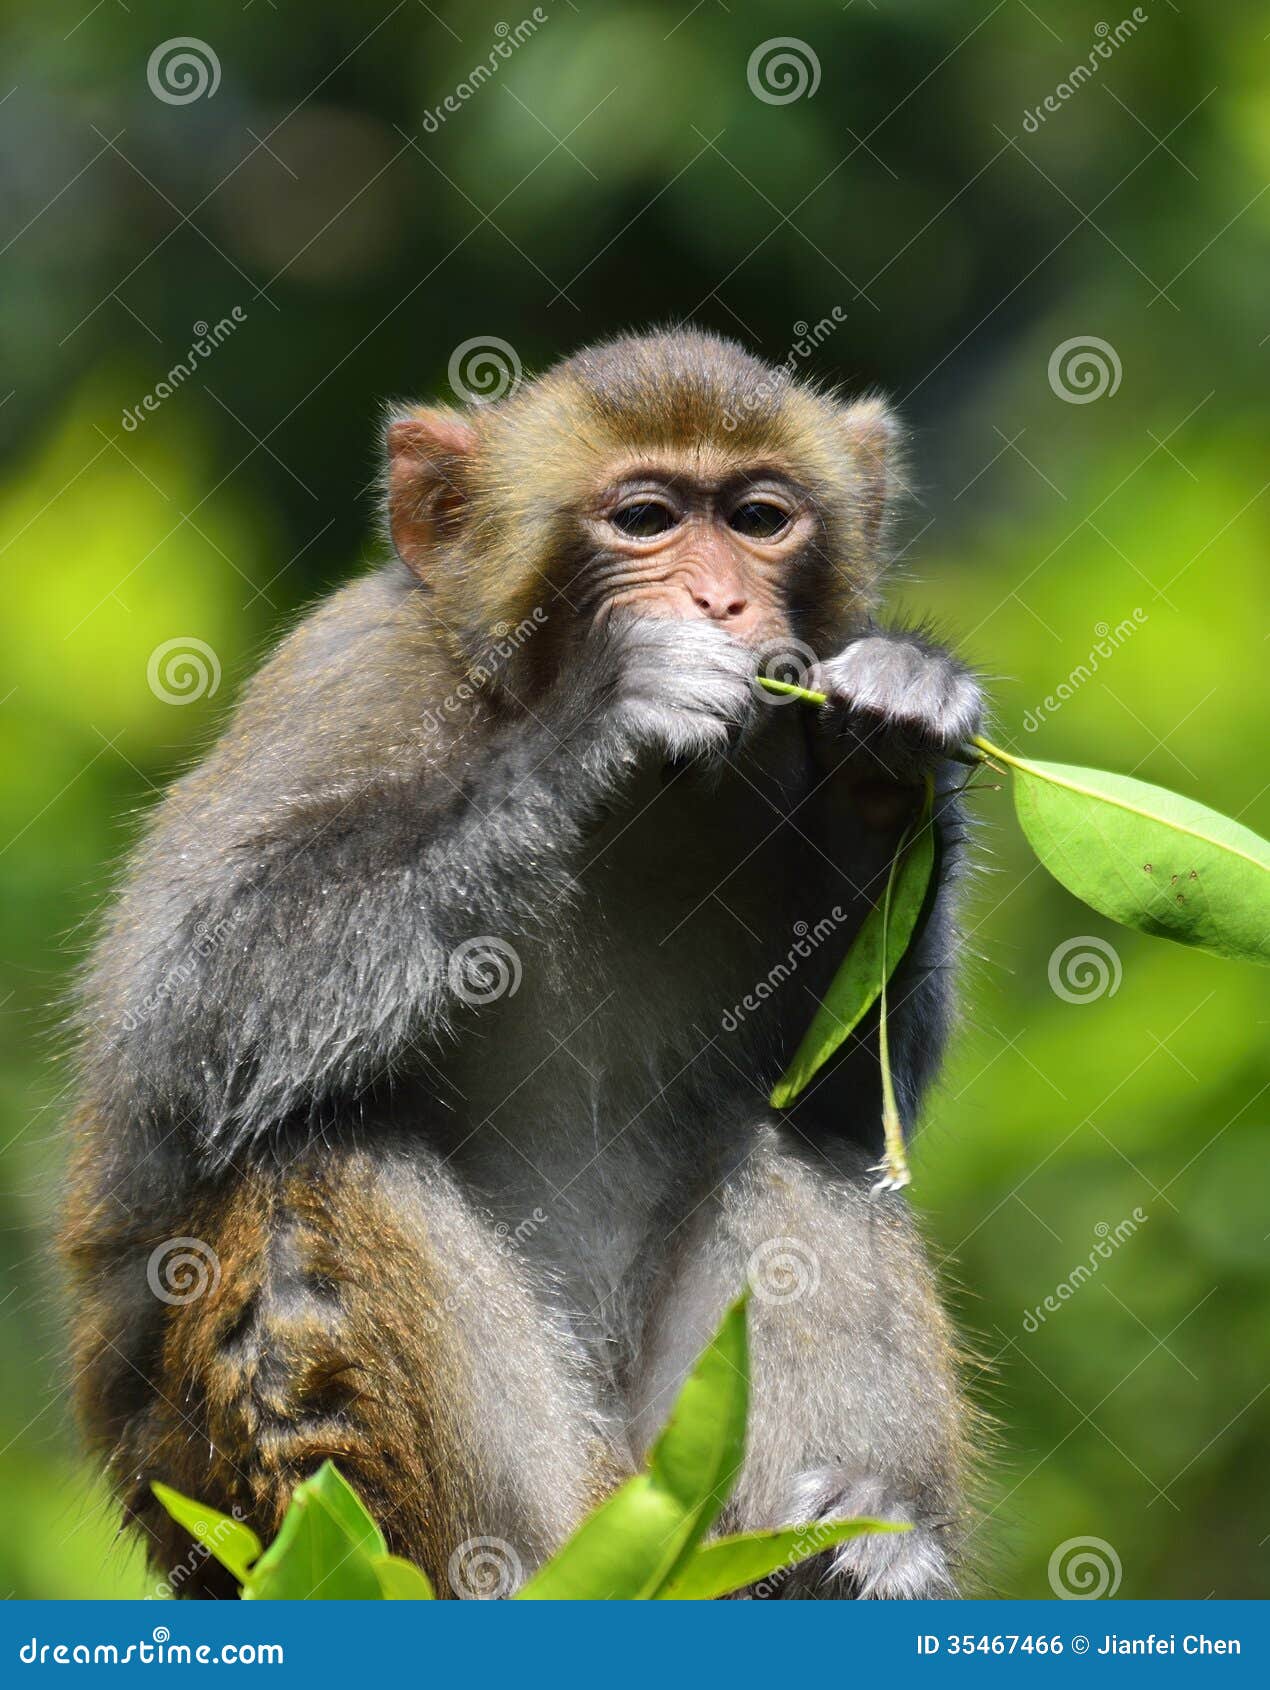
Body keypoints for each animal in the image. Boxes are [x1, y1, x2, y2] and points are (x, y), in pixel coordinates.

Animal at [61, 330, 985, 1599]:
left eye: (758, 518)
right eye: (644, 518)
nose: (720, 599)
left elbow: (846, 1087)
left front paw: (886, 746)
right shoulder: (346, 677)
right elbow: (177, 1031)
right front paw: (608, 716)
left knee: (808, 1144)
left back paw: (843, 1558)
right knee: (311, 1157)